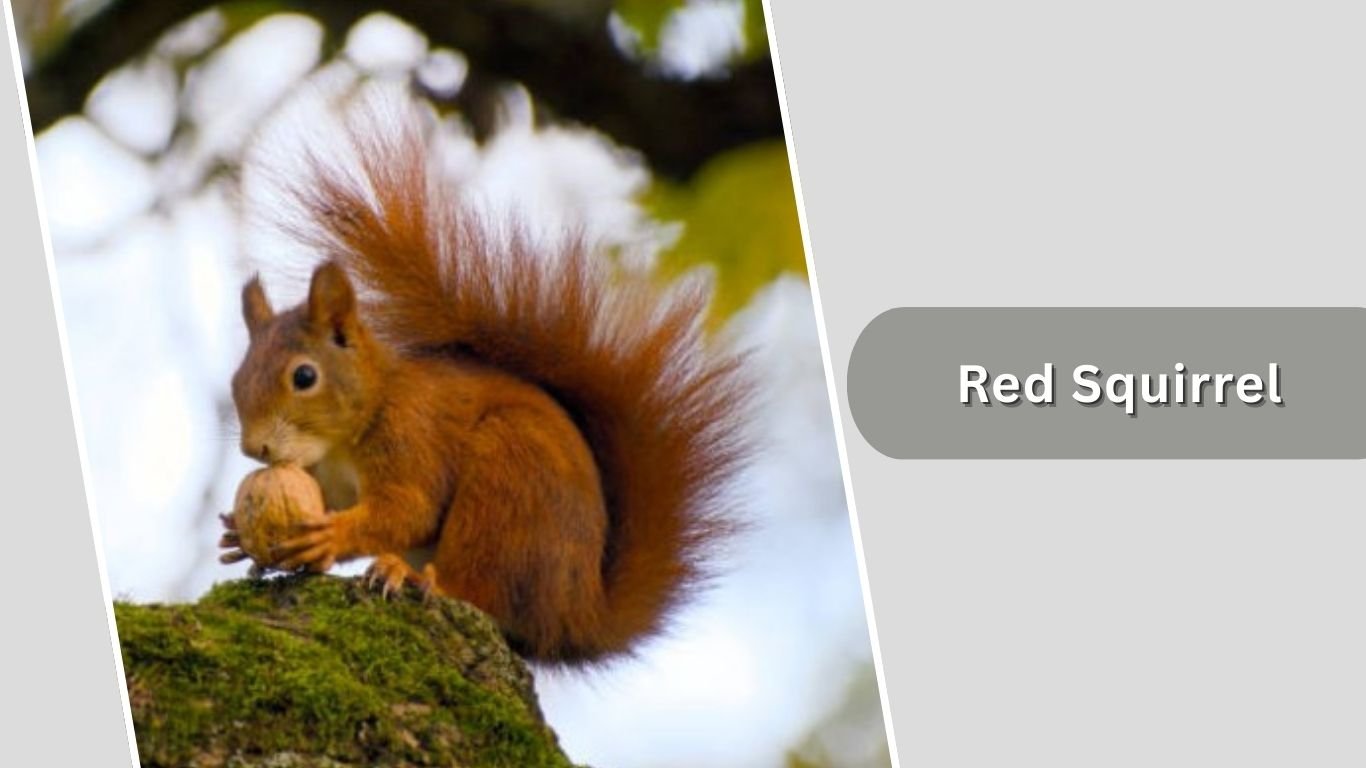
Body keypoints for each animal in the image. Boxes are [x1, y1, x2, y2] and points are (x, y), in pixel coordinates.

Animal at [217, 105, 753, 664]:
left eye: (304, 376)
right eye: (238, 377)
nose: (255, 449)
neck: (350, 433)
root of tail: (576, 615)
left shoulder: (413, 438)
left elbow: (408, 510)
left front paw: (330, 537)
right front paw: (238, 536)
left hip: (507, 480)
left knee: (478, 588)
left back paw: (413, 575)